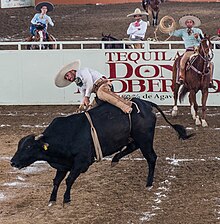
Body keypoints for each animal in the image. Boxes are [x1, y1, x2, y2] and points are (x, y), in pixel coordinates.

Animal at [10, 99, 192, 206]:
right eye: (19, 146)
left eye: (28, 147)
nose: (13, 162)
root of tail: (145, 104)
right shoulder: (63, 165)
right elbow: (56, 181)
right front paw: (52, 199)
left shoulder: (81, 163)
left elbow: (69, 180)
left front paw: (66, 199)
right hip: (135, 138)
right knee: (132, 147)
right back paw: (115, 159)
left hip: (145, 139)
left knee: (152, 158)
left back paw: (148, 183)